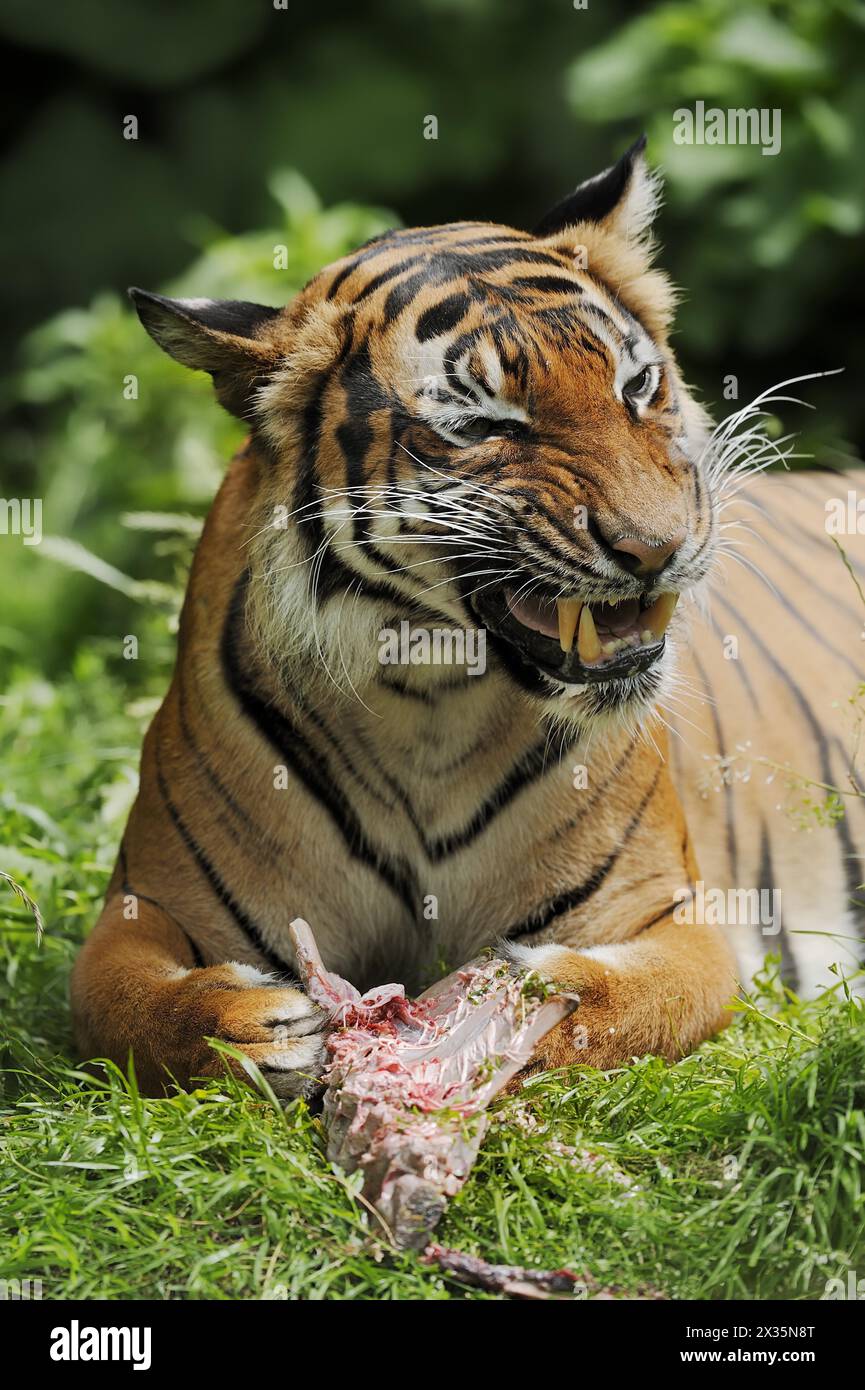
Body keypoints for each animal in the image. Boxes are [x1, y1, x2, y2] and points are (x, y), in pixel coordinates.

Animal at [70, 137, 865, 1098]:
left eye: (637, 384)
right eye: (482, 425)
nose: (658, 548)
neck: (425, 698)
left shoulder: (673, 915)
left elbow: (609, 1004)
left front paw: (512, 1006)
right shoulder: (141, 904)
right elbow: (123, 1006)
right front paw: (255, 1031)